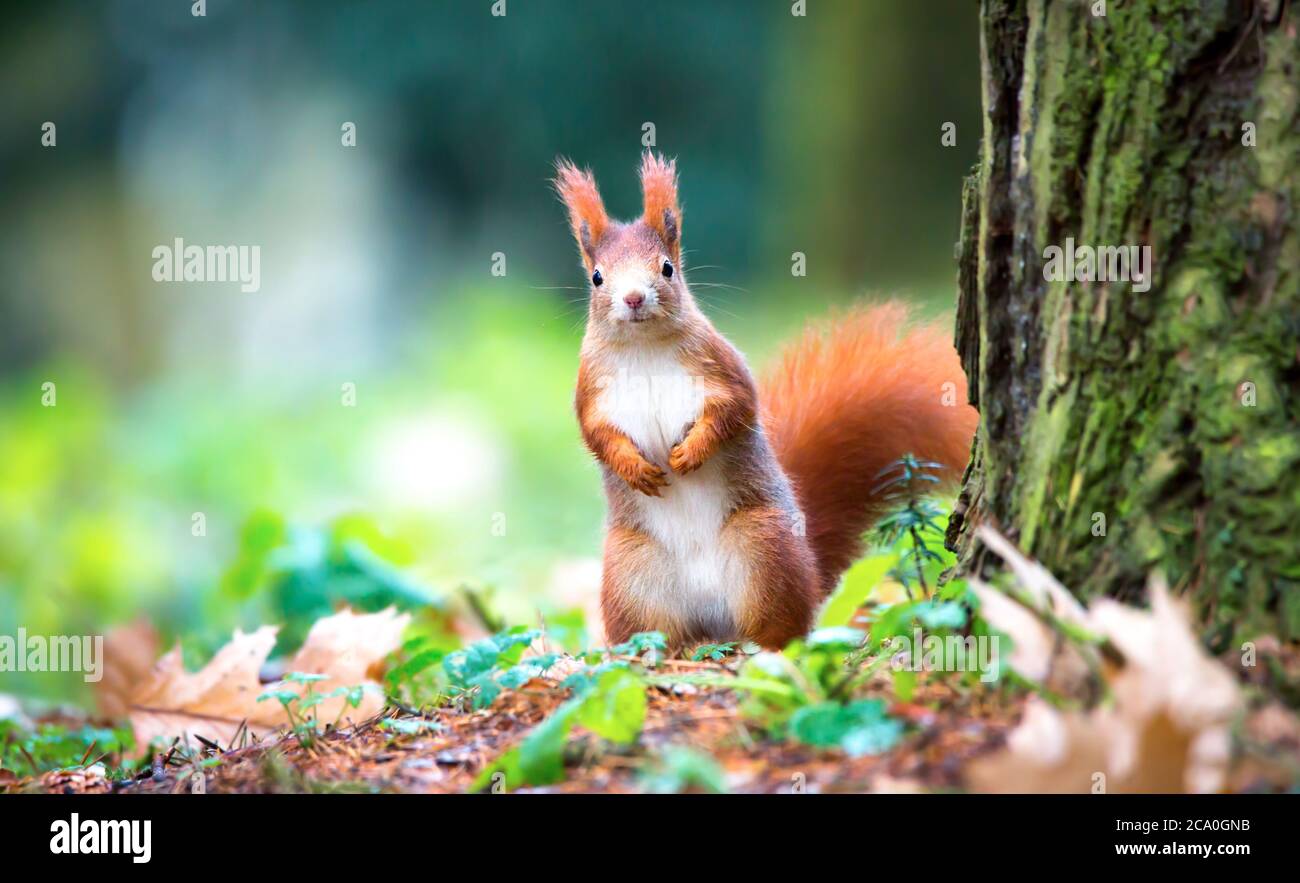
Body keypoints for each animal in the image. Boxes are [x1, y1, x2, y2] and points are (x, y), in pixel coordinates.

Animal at [554, 152, 978, 650]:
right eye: (597, 277)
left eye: (667, 267)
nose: (635, 298)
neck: (644, 348)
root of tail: (714, 622)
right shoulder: (591, 392)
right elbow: (597, 435)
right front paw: (633, 466)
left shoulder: (722, 369)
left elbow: (733, 411)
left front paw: (690, 453)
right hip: (632, 574)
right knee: (651, 634)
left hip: (762, 547)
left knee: (784, 629)